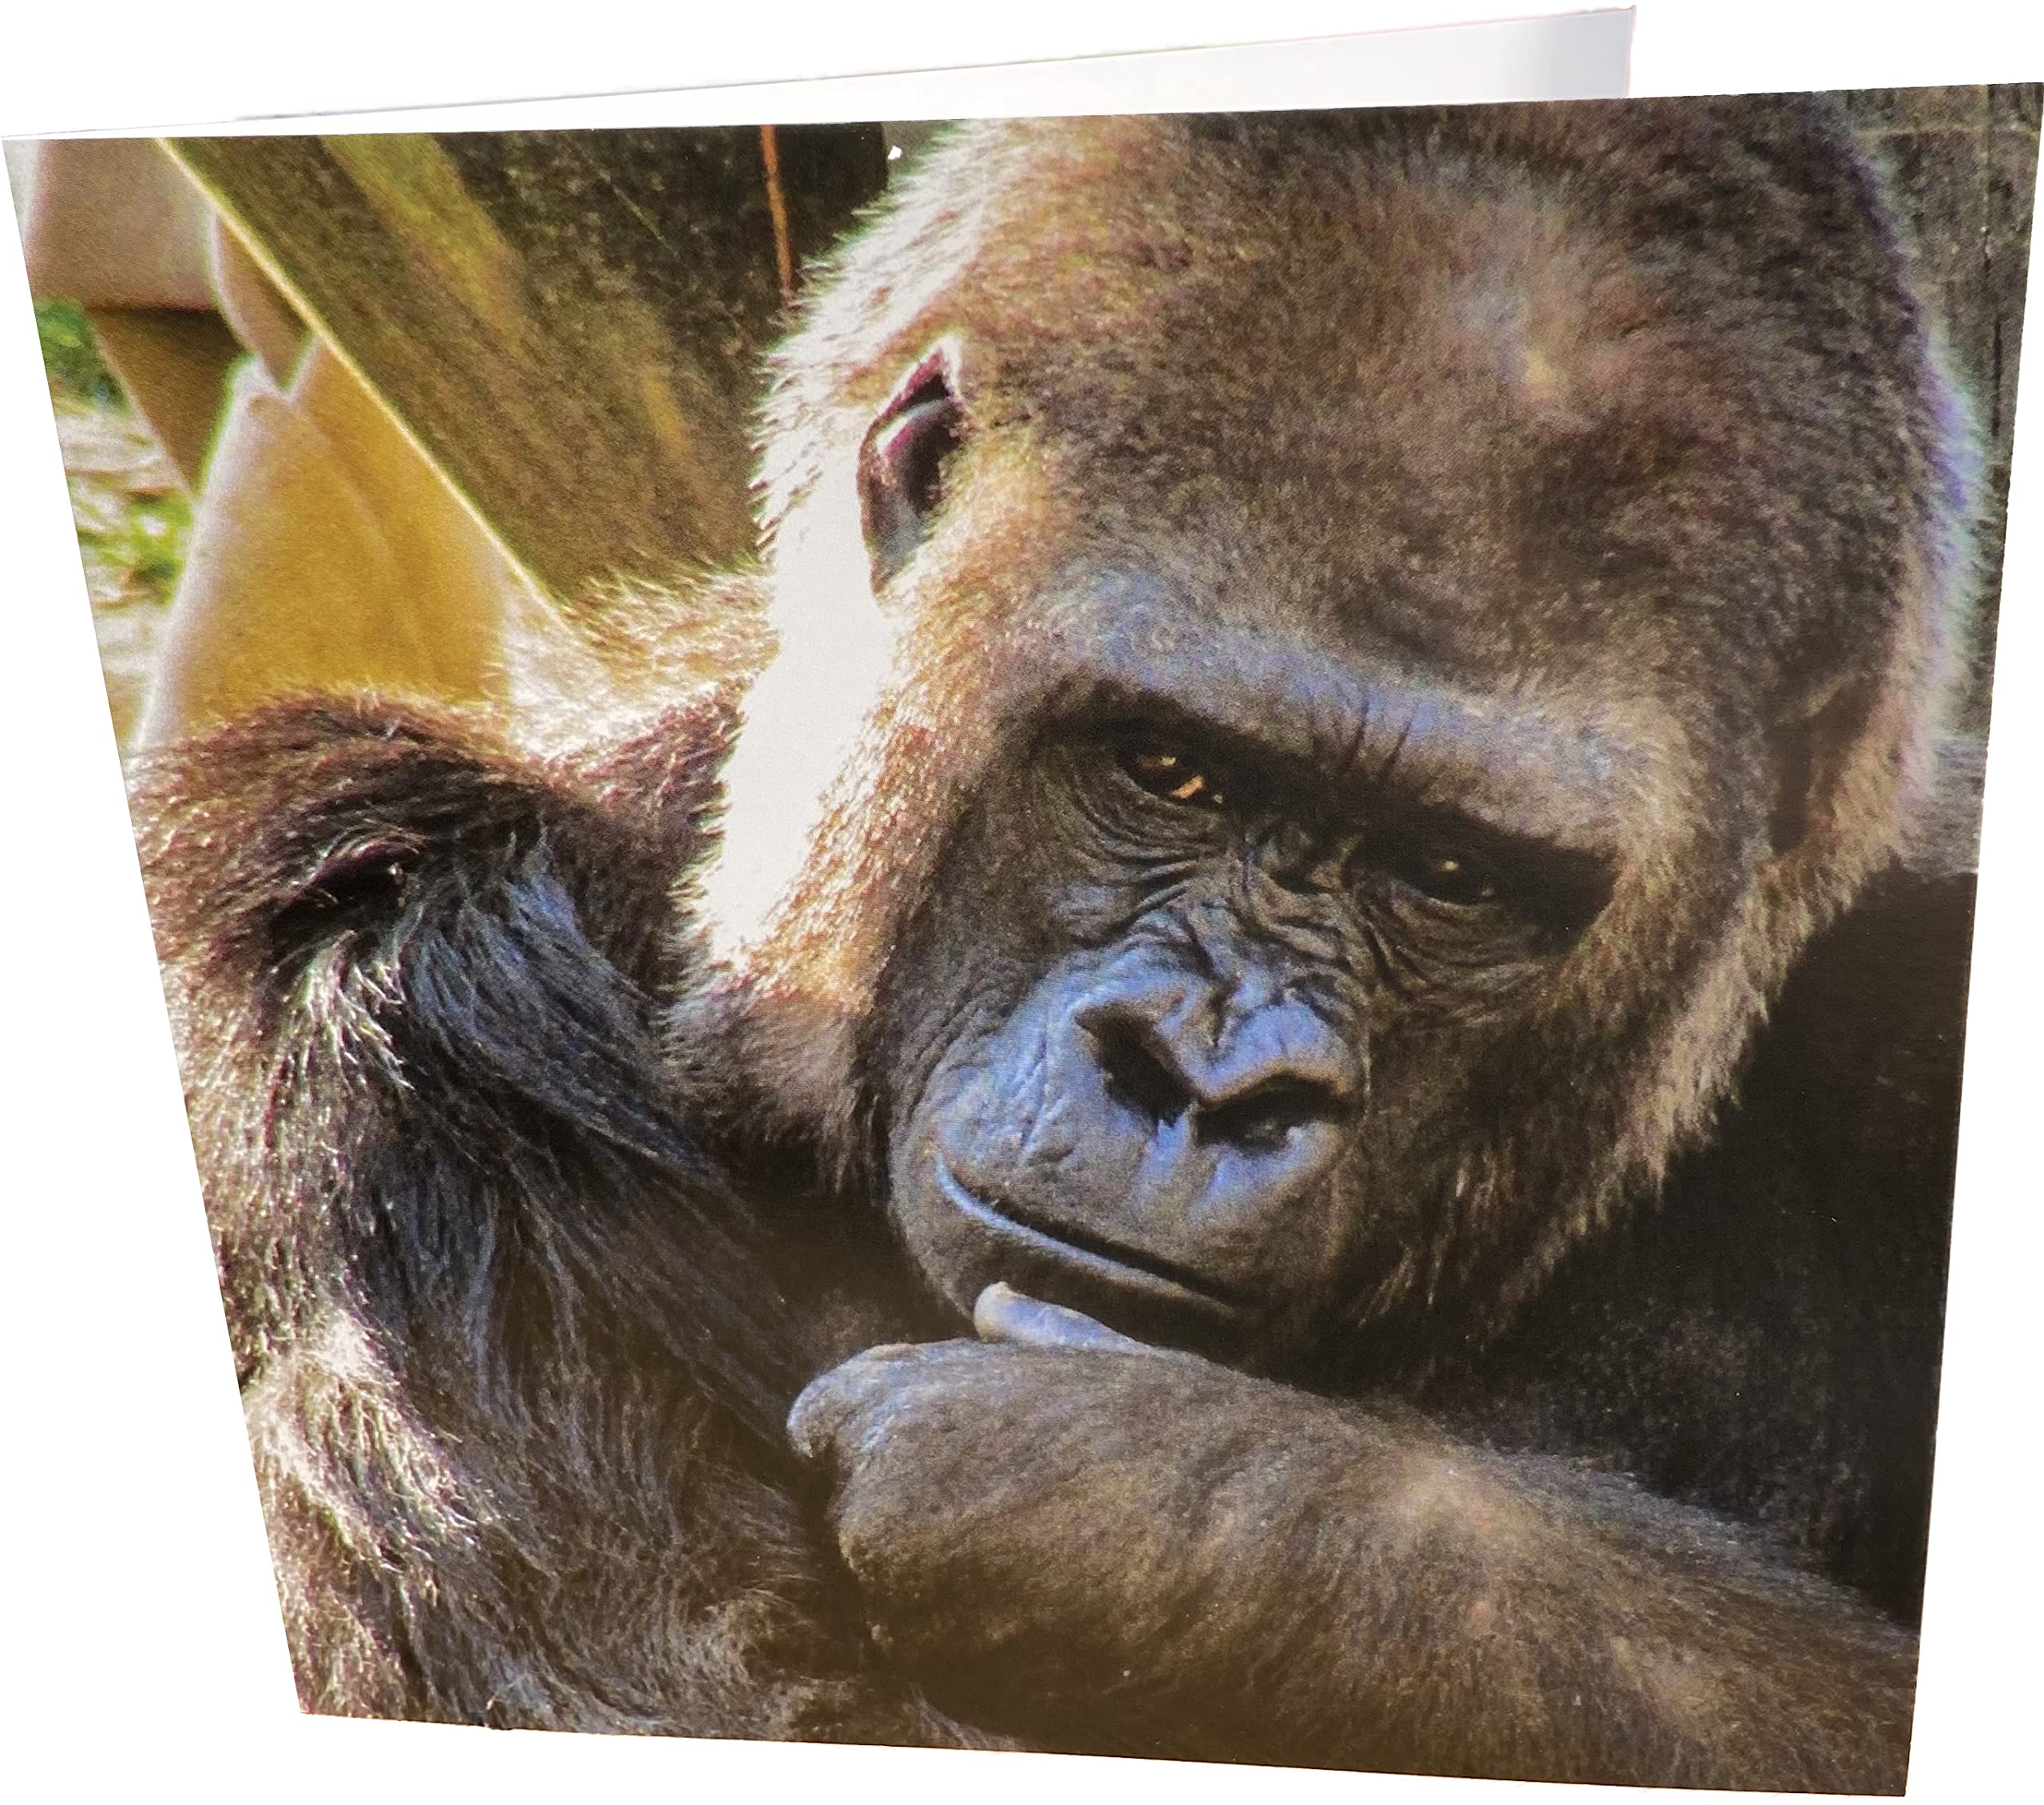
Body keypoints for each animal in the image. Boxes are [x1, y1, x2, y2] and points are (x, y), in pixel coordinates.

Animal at [131, 98, 1996, 1791]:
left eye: (1451, 872)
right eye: (1166, 767)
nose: (1206, 1078)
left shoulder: (1929, 974)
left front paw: (1154, 1494)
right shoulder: (356, 980)